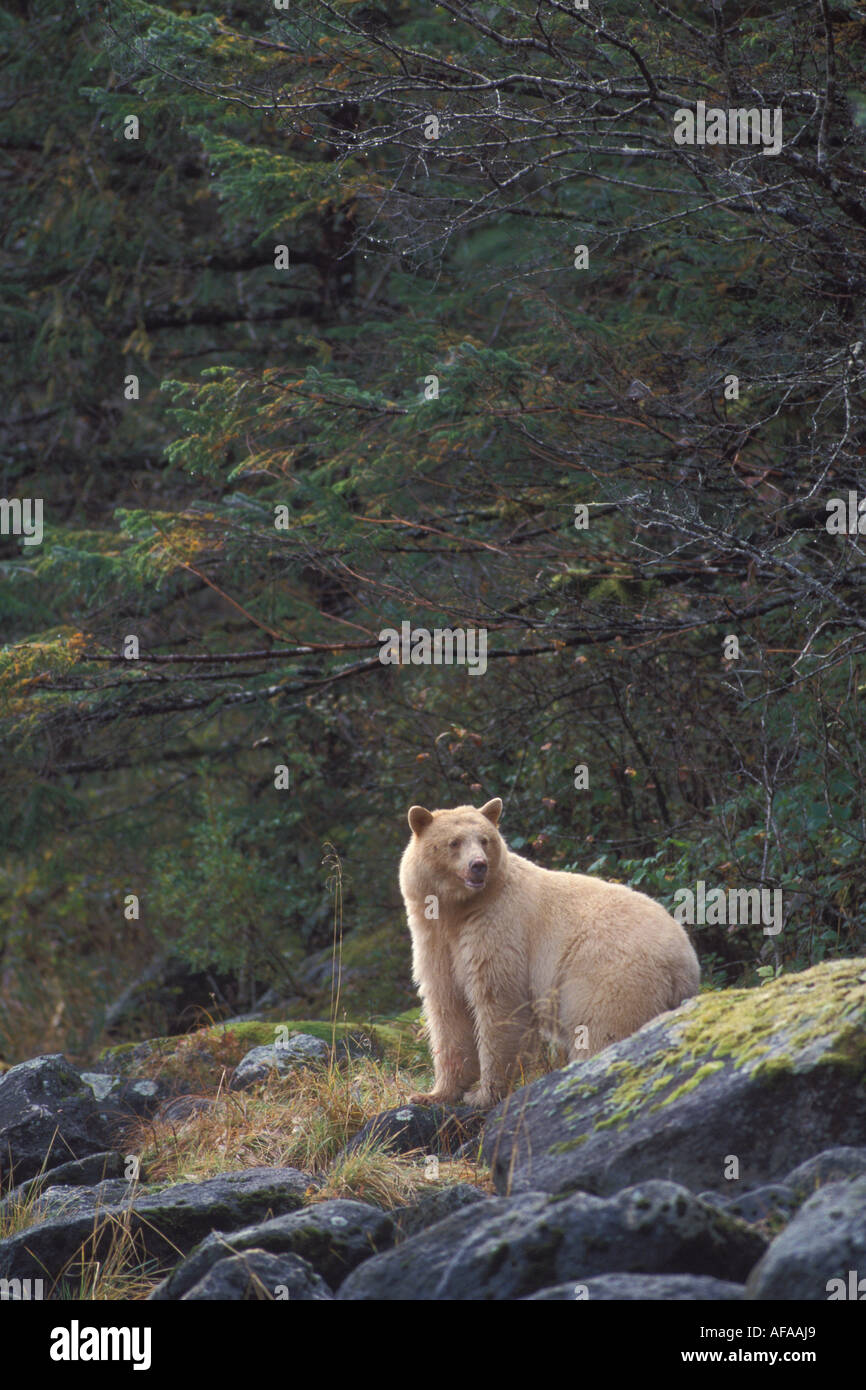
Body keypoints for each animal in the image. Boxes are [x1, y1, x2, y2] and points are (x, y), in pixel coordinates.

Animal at [399, 797, 700, 1108]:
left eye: (484, 840)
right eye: (454, 842)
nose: (478, 866)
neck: (460, 909)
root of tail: (684, 963)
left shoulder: (500, 927)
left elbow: (498, 1002)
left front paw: (483, 1094)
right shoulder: (435, 939)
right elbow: (448, 1007)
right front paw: (432, 1094)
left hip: (611, 978)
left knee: (602, 1029)